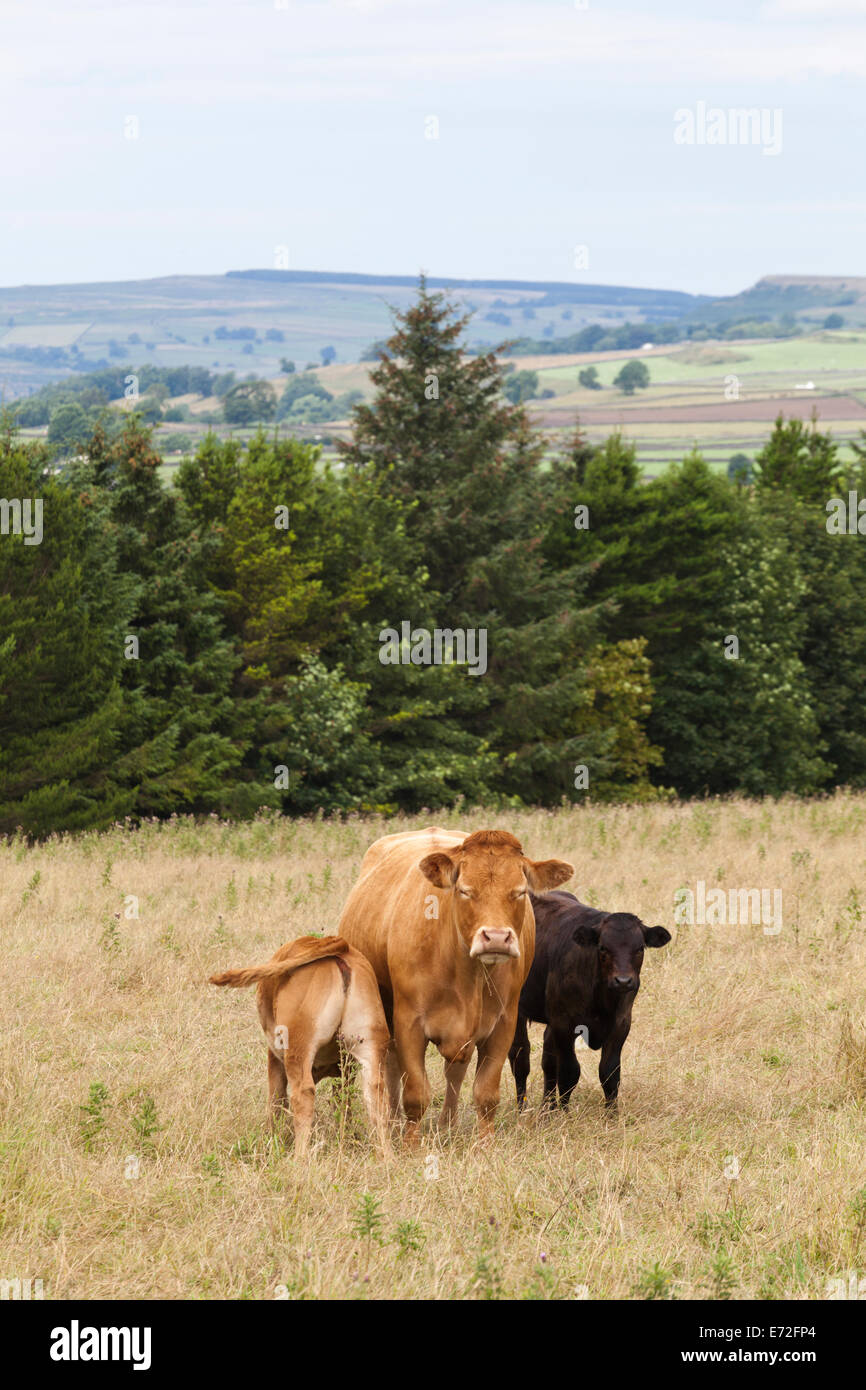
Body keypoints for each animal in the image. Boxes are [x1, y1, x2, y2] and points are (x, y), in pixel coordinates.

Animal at [209, 934, 392, 1159]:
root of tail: (339, 947)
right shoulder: (346, 1068)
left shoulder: (274, 1056)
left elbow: (276, 1098)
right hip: (370, 1047)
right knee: (377, 1094)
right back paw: (387, 1158)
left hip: (299, 1049)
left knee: (303, 1094)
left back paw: (299, 1158)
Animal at [337, 827, 574, 1142]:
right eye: (464, 890)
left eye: (520, 891)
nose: (496, 937)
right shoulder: (408, 1023)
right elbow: (416, 1093)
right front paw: (410, 1144)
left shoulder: (504, 1024)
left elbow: (486, 1093)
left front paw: (485, 1144)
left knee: (452, 1072)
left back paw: (445, 1123)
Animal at [508, 890, 671, 1111]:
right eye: (603, 948)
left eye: (640, 948)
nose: (623, 981)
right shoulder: (564, 1024)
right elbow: (569, 1072)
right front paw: (565, 1113)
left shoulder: (621, 1025)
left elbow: (610, 1074)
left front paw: (612, 1114)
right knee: (520, 1057)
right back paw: (522, 1110)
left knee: (547, 1061)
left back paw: (547, 1108)